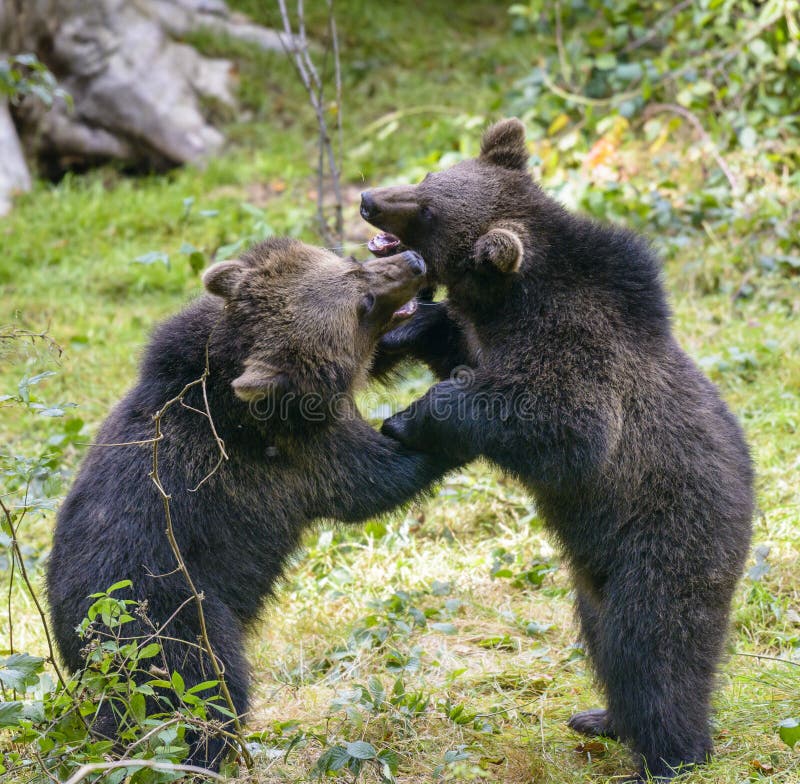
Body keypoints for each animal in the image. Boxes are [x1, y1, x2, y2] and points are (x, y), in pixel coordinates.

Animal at [46, 238, 455, 768]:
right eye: (362, 303)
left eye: (350, 265)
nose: (413, 265)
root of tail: (82, 654)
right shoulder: (292, 460)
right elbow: (376, 481)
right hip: (167, 617)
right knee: (202, 692)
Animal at [359, 119, 754, 781]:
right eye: (429, 176)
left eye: (429, 209)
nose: (368, 200)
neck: (512, 304)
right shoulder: (489, 339)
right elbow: (456, 344)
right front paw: (411, 328)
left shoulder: (576, 362)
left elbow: (560, 426)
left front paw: (408, 417)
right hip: (593, 581)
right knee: (604, 645)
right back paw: (604, 717)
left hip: (664, 545)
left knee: (654, 651)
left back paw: (669, 755)